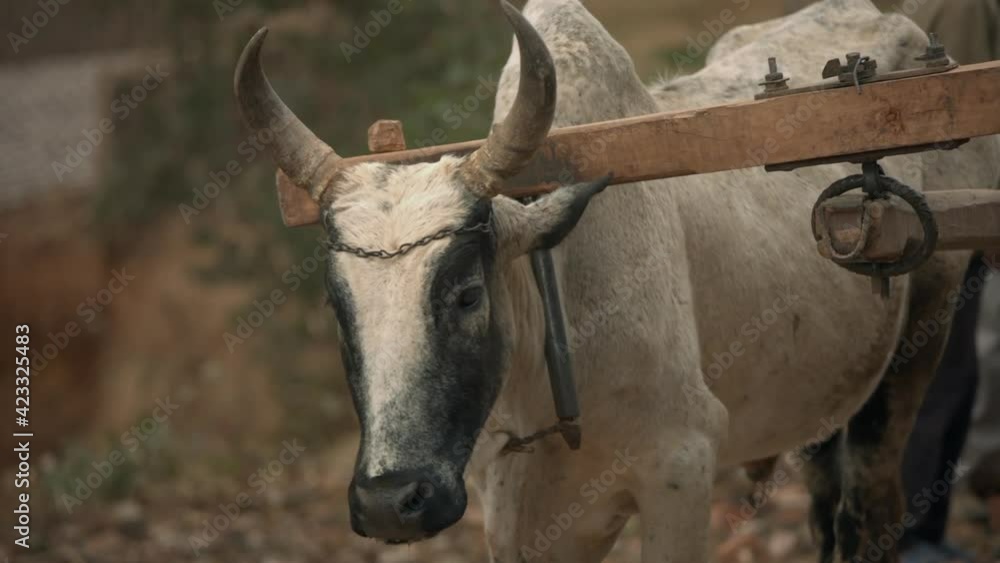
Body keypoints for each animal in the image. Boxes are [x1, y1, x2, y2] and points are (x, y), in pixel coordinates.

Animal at [233, 0, 1000, 561]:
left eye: (466, 294)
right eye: (338, 307)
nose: (391, 502)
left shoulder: (680, 471)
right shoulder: (517, 515)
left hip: (925, 321)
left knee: (873, 509)